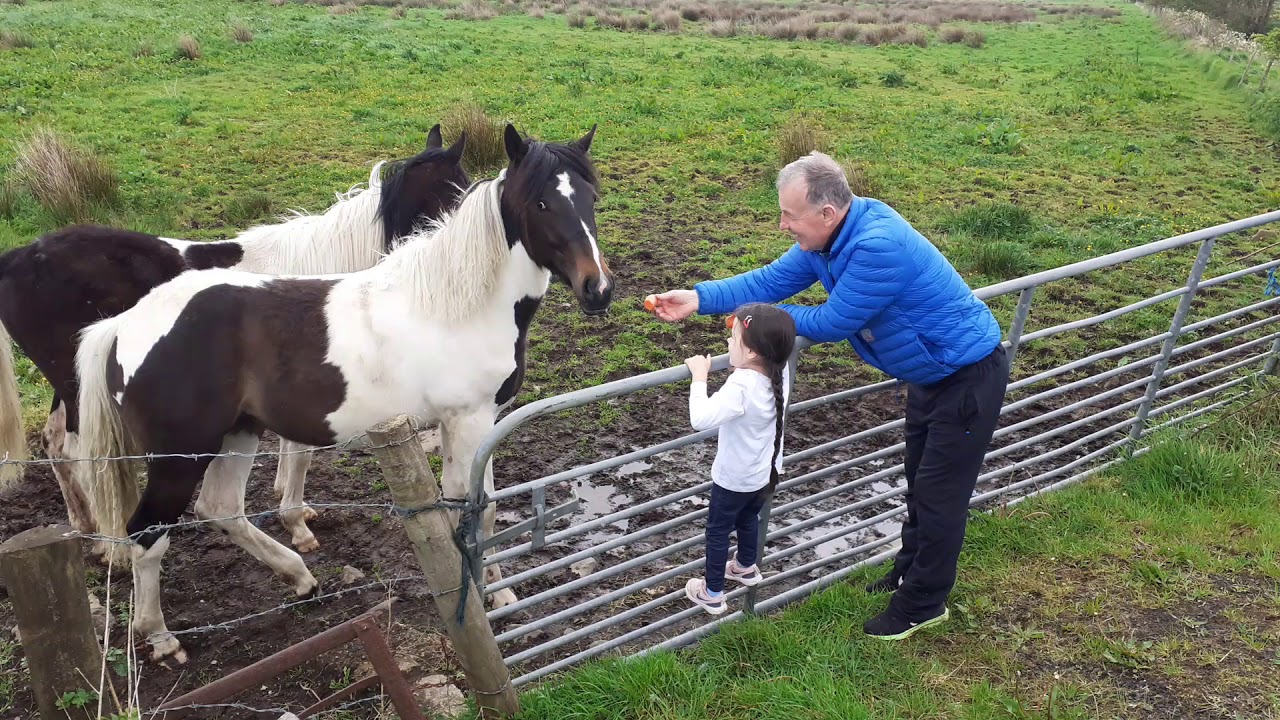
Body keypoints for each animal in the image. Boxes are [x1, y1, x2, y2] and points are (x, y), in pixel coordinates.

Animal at [0, 125, 469, 560]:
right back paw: (110, 543)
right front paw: (296, 524)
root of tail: (18, 257)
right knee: (81, 453)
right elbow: (301, 451)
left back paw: (84, 527)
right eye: (455, 190)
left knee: (56, 444)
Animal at [74, 123, 612, 664]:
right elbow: (479, 510)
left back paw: (301, 578)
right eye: (540, 203)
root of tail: (122, 325)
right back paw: (161, 637)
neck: (458, 305)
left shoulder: (465, 422)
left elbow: (477, 505)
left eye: (591, 197)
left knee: (221, 508)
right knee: (147, 533)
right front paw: (494, 597)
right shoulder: (469, 418)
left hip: (236, 435)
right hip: (178, 459)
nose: (598, 289)